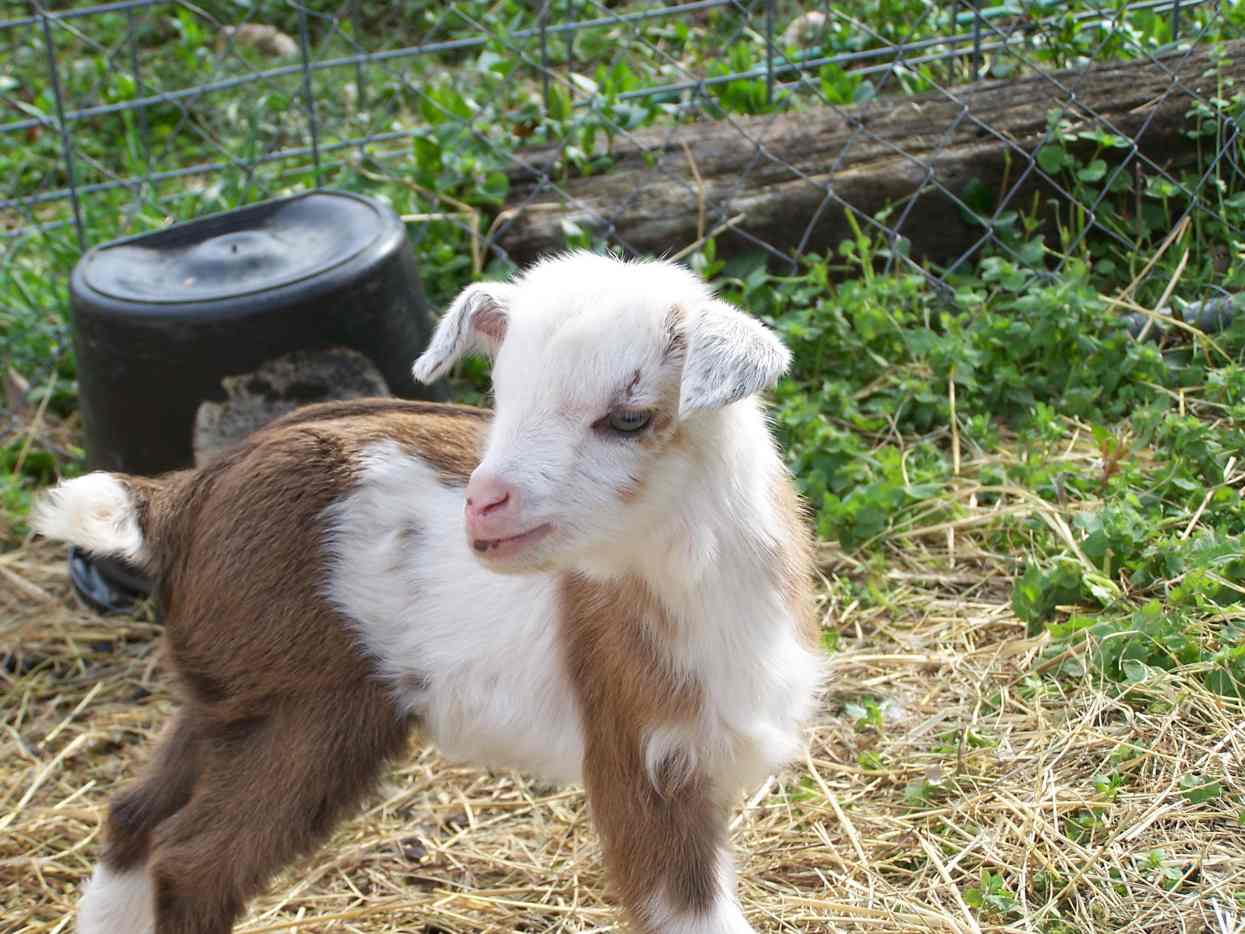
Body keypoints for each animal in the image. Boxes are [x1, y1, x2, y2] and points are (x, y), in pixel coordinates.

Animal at [34, 251, 823, 934]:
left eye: (629, 417)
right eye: (501, 395)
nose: (483, 505)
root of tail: (185, 496)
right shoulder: (638, 756)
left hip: (227, 694)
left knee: (134, 819)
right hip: (307, 708)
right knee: (191, 861)